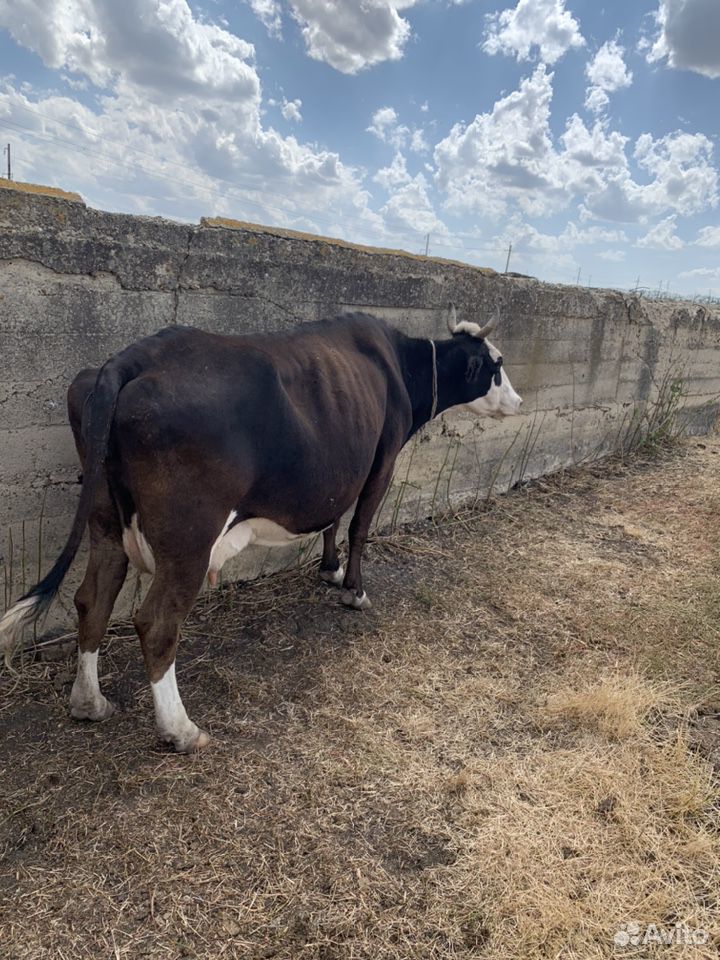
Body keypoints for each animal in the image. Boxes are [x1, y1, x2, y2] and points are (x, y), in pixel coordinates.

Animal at [0, 304, 522, 752]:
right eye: (496, 366)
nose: (518, 401)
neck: (399, 366)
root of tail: (131, 358)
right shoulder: (382, 459)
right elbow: (358, 527)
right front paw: (353, 590)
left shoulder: (336, 471)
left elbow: (332, 519)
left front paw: (329, 569)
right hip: (189, 537)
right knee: (157, 621)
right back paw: (181, 730)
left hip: (105, 519)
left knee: (94, 597)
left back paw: (90, 702)